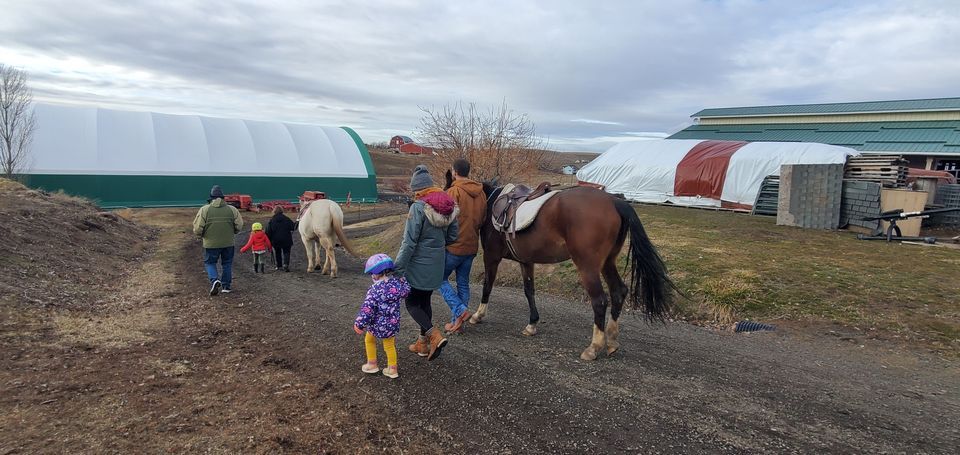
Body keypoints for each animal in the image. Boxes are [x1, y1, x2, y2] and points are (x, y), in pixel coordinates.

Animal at [471, 183, 674, 360]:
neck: (490, 201)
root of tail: (615, 201)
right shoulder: (526, 261)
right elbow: (529, 291)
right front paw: (532, 324)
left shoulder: (491, 257)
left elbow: (487, 285)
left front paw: (478, 315)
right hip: (608, 263)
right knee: (618, 292)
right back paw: (611, 341)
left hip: (588, 266)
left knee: (600, 300)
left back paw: (594, 347)